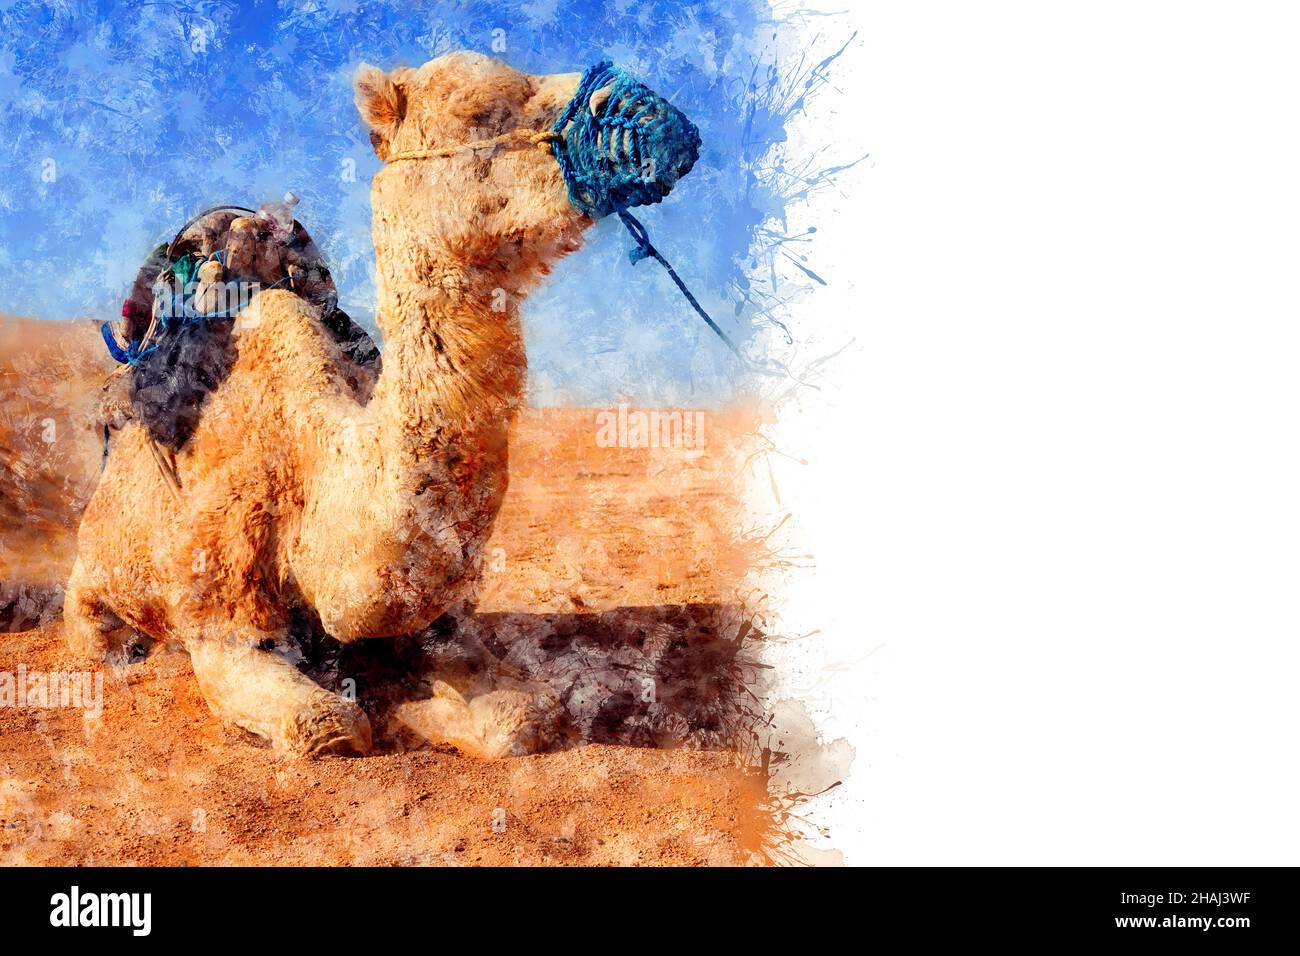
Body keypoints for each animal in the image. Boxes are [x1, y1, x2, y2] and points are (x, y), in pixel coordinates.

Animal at [62, 51, 676, 757]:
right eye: (477, 111)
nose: (652, 112)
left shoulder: (433, 622)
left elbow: (518, 717)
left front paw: (438, 709)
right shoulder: (221, 613)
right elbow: (328, 724)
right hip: (90, 584)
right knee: (99, 632)